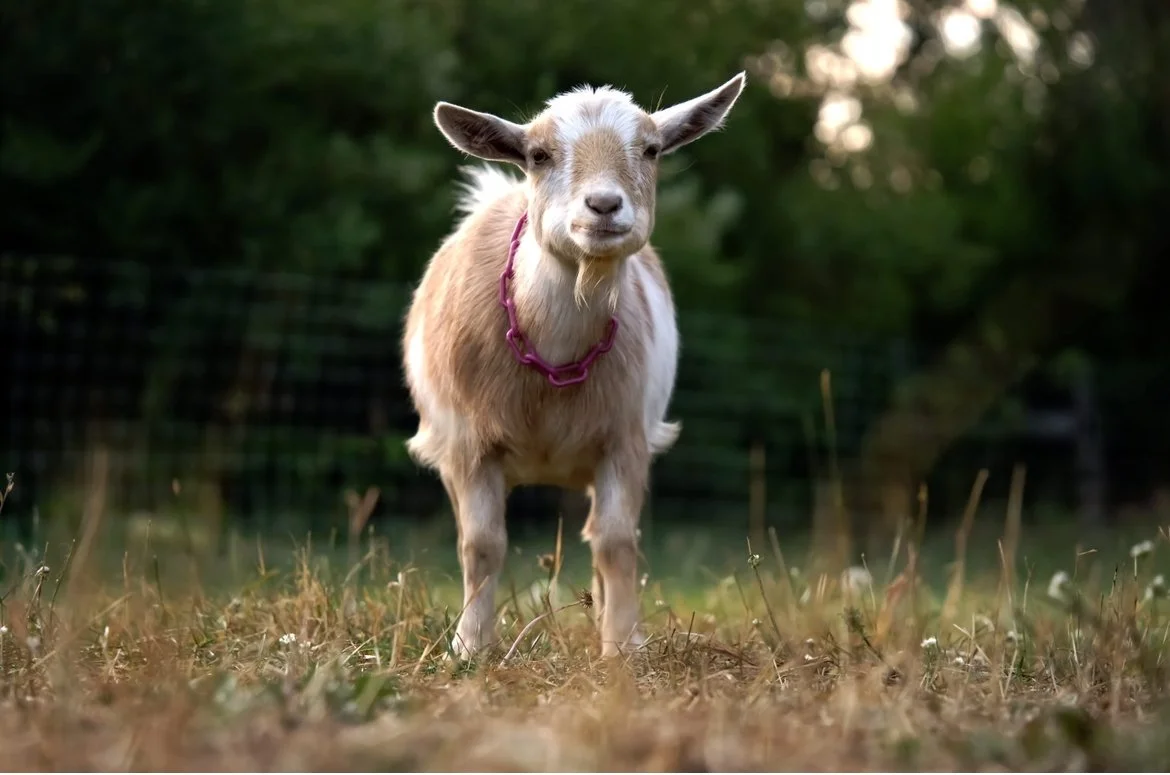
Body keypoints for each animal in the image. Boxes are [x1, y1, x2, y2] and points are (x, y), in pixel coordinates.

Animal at [402, 72, 747, 658]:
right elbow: (482, 544)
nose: (603, 205)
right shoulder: (469, 443)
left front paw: (624, 647)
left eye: (652, 149)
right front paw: (470, 648)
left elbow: (615, 541)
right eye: (538, 155)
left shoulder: (625, 438)